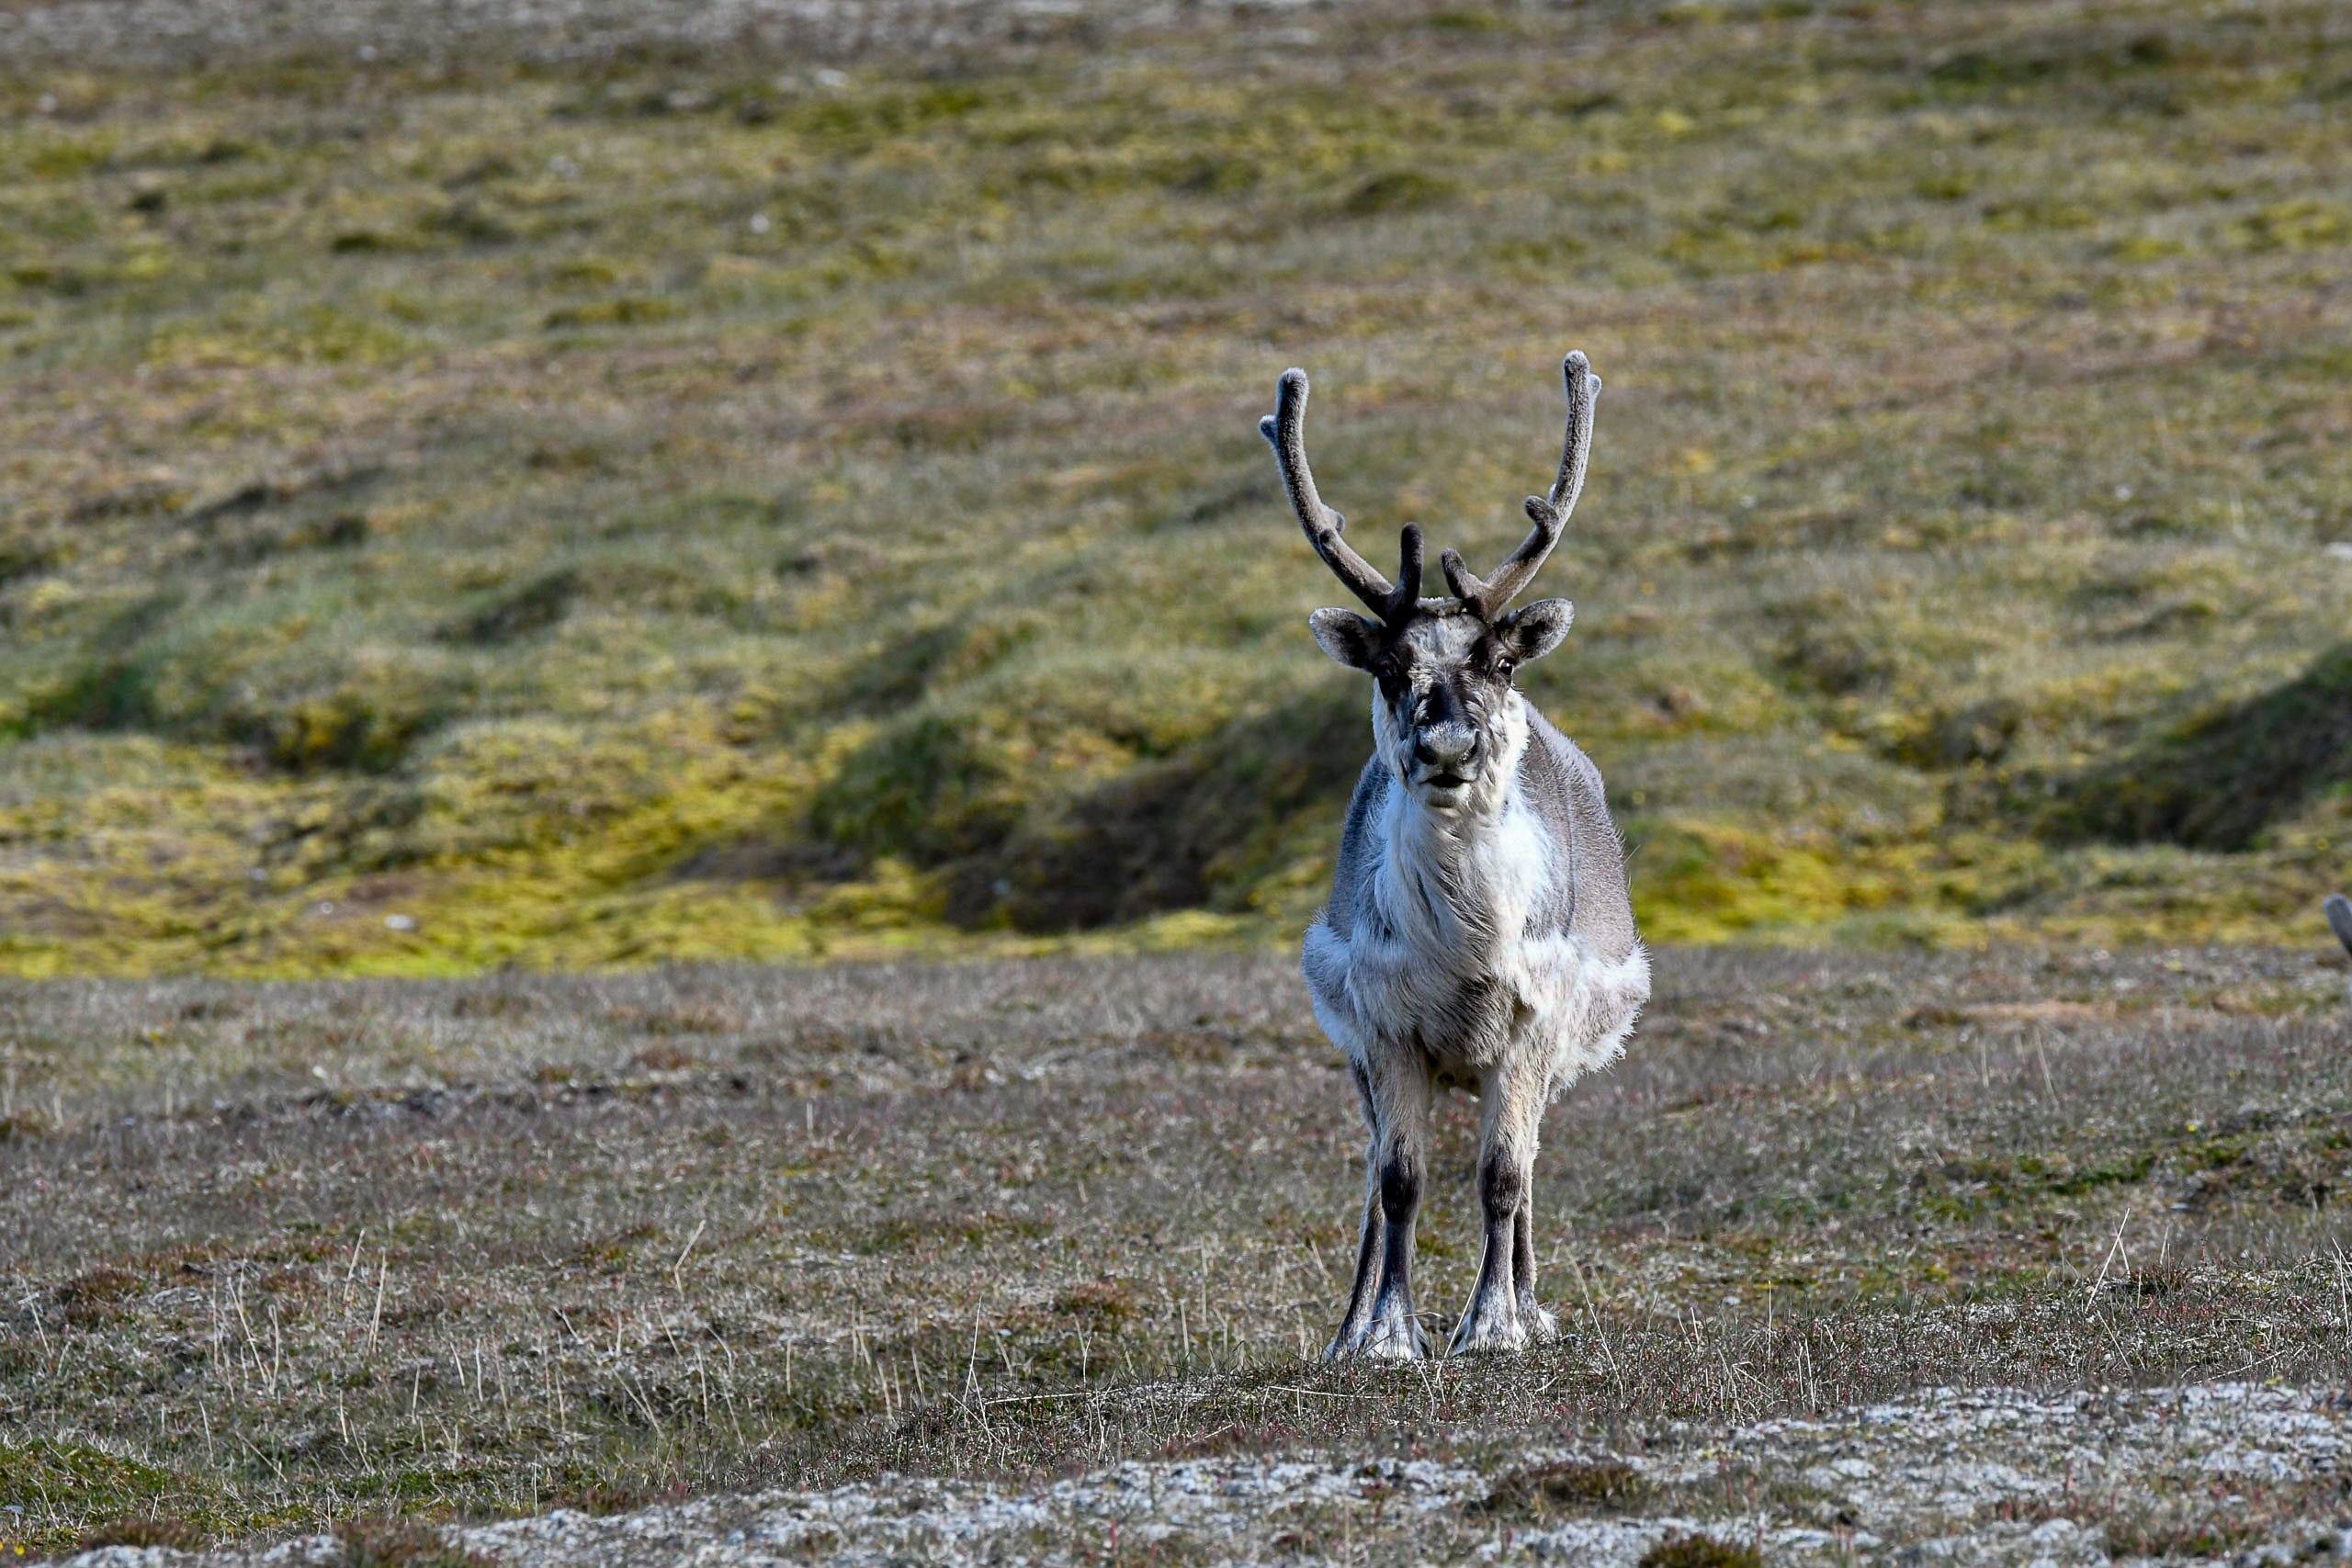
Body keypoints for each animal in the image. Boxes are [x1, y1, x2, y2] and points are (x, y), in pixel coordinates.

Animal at [1260, 351, 1649, 1360]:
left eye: (1501, 664)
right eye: (1390, 668)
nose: (1445, 748)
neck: (1466, 947)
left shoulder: (1530, 1027)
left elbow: (1504, 1177)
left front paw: (1494, 1326)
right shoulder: (1387, 1029)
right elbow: (1399, 1183)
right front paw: (1388, 1337)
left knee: (1525, 1171)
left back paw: (1531, 1304)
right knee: (1370, 1176)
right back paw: (1348, 1327)